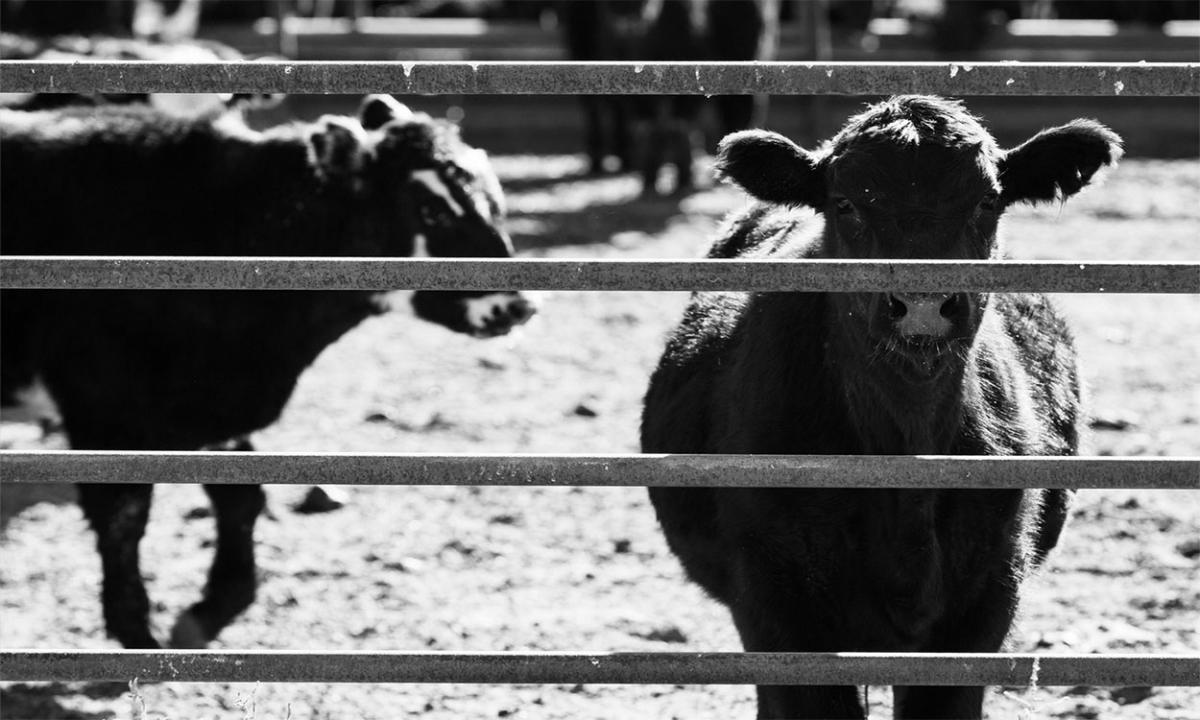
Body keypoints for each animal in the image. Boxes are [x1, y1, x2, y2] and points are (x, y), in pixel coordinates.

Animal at [0, 94, 536, 649]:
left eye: (494, 198)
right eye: (430, 207)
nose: (518, 306)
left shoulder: (214, 406)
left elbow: (240, 498)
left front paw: (210, 609)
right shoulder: (101, 405)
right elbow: (123, 516)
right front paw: (137, 632)